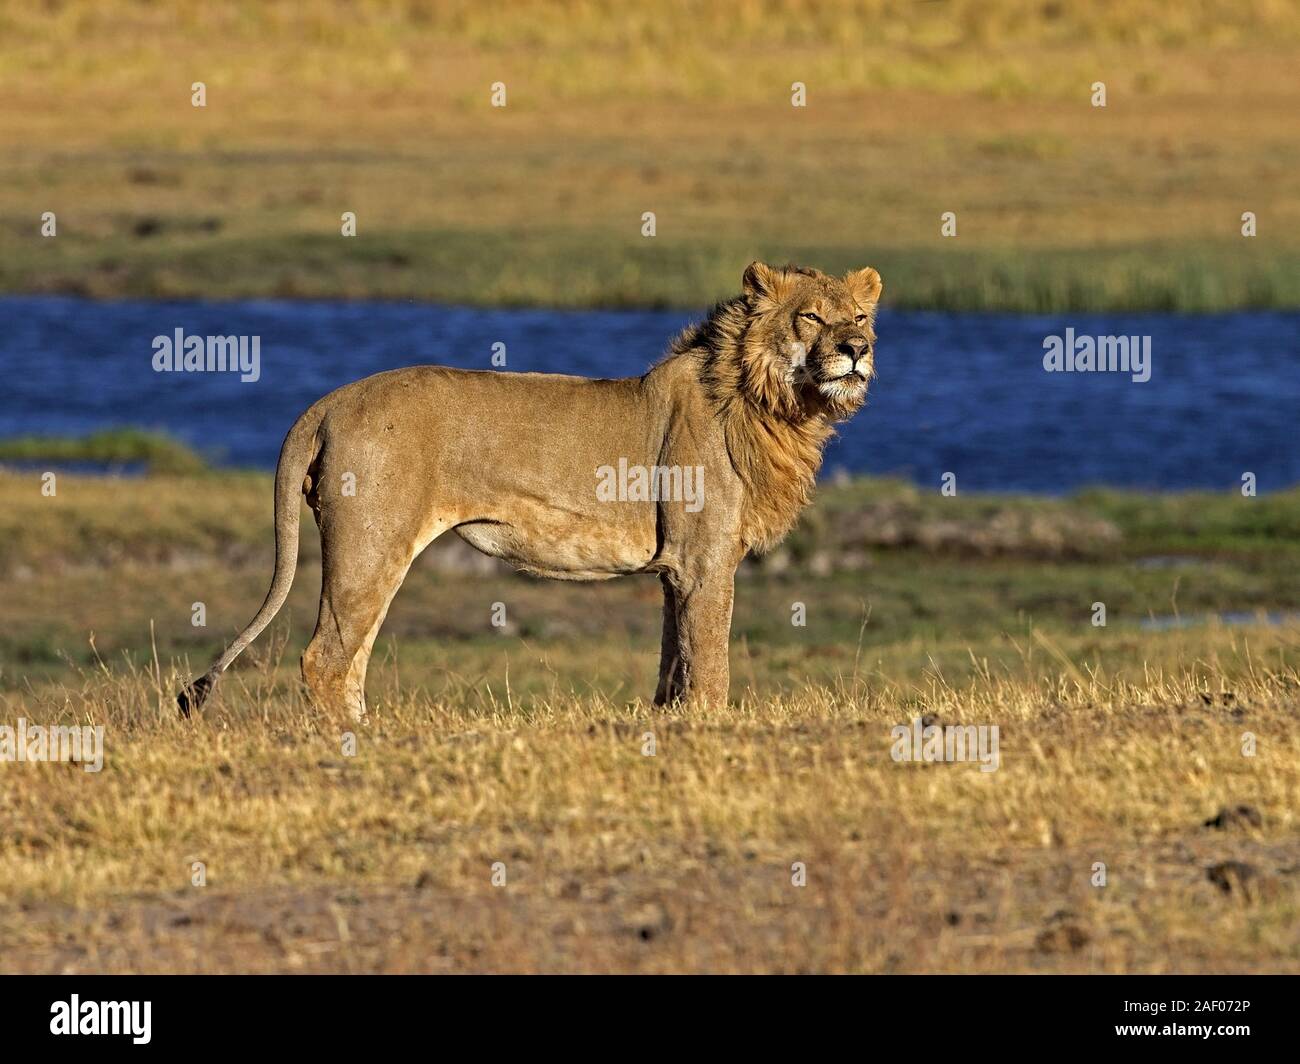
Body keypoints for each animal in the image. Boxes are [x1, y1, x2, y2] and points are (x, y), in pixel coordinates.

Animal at [177, 261, 882, 720]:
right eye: (811, 316)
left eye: (860, 316)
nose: (856, 348)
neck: (783, 406)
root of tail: (330, 401)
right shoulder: (704, 562)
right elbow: (708, 663)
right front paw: (709, 730)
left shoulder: (674, 569)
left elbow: (672, 662)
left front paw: (668, 722)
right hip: (371, 544)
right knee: (325, 659)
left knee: (350, 661)